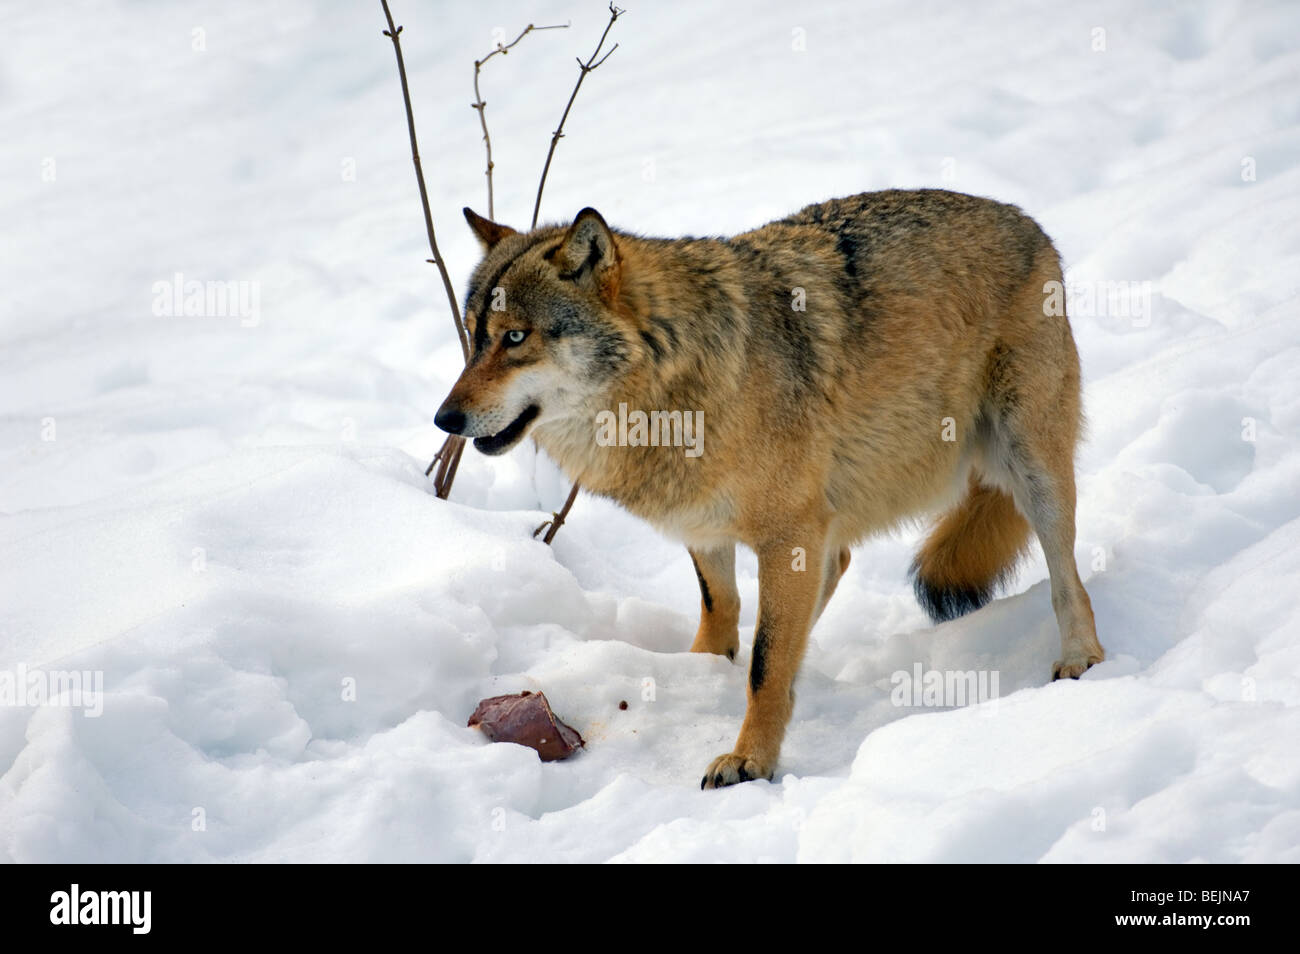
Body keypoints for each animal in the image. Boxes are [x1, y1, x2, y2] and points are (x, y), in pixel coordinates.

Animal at [435, 189, 1104, 788]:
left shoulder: (788, 534)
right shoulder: (707, 527)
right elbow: (724, 613)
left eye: (515, 338)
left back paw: (1082, 659)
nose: (445, 420)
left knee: (1067, 578)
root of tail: (1028, 223)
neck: (674, 383)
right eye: (472, 336)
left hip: (1032, 467)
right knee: (835, 568)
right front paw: (701, 679)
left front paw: (750, 761)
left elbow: (763, 662)